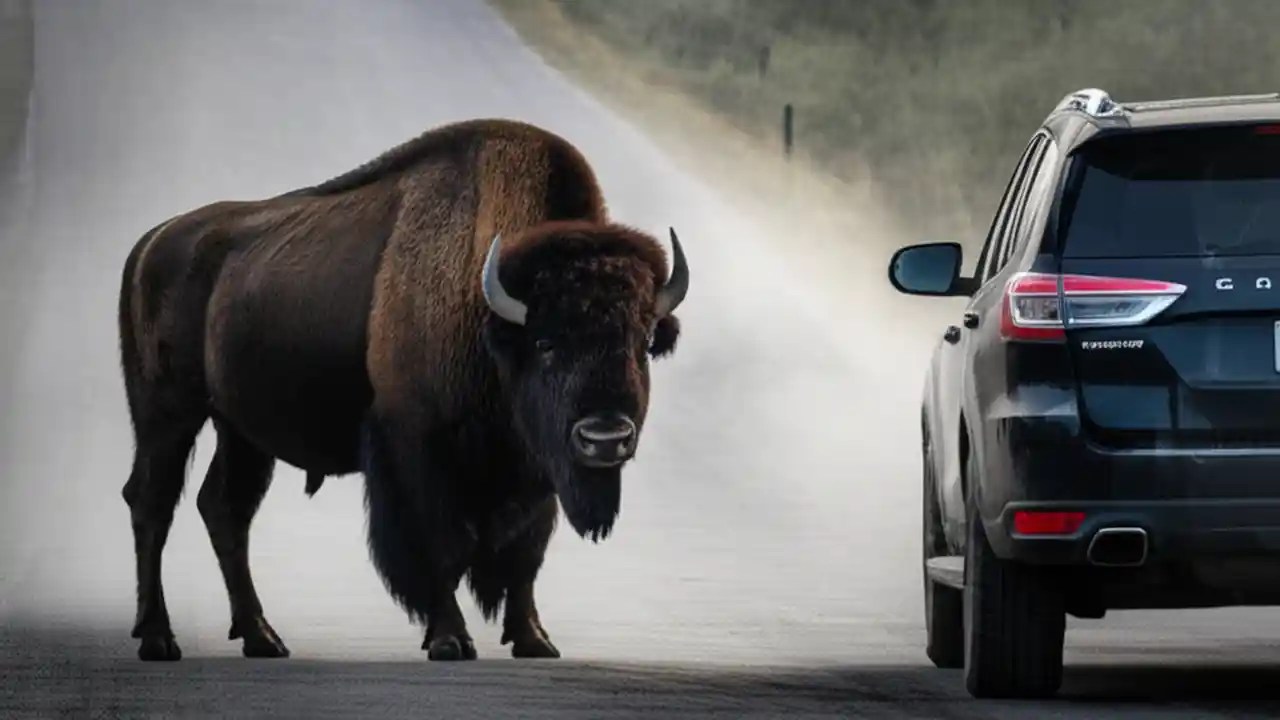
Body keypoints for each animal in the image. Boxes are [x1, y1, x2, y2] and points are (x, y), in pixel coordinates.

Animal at [117, 118, 688, 662]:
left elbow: (524, 555)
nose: (606, 437)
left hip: (241, 432)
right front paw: (450, 640)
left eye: (642, 342)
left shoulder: (534, 470)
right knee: (152, 503)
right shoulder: (417, 448)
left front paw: (535, 641)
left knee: (224, 509)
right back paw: (158, 639)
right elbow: (440, 544)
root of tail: (151, 242)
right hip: (167, 415)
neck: (487, 316)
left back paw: (262, 638)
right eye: (546, 343)